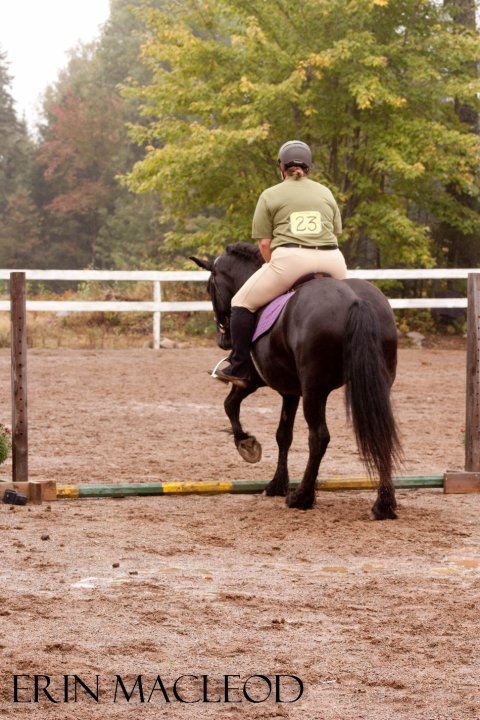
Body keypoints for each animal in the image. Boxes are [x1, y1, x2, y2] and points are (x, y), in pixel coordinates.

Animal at [191, 242, 402, 519]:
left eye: (210, 288)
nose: (222, 340)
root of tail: (356, 301)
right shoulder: (290, 391)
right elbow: (283, 435)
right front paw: (277, 484)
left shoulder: (253, 380)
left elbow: (230, 405)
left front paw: (248, 445)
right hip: (379, 384)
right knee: (382, 430)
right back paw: (384, 504)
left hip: (315, 390)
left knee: (319, 438)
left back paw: (302, 496)